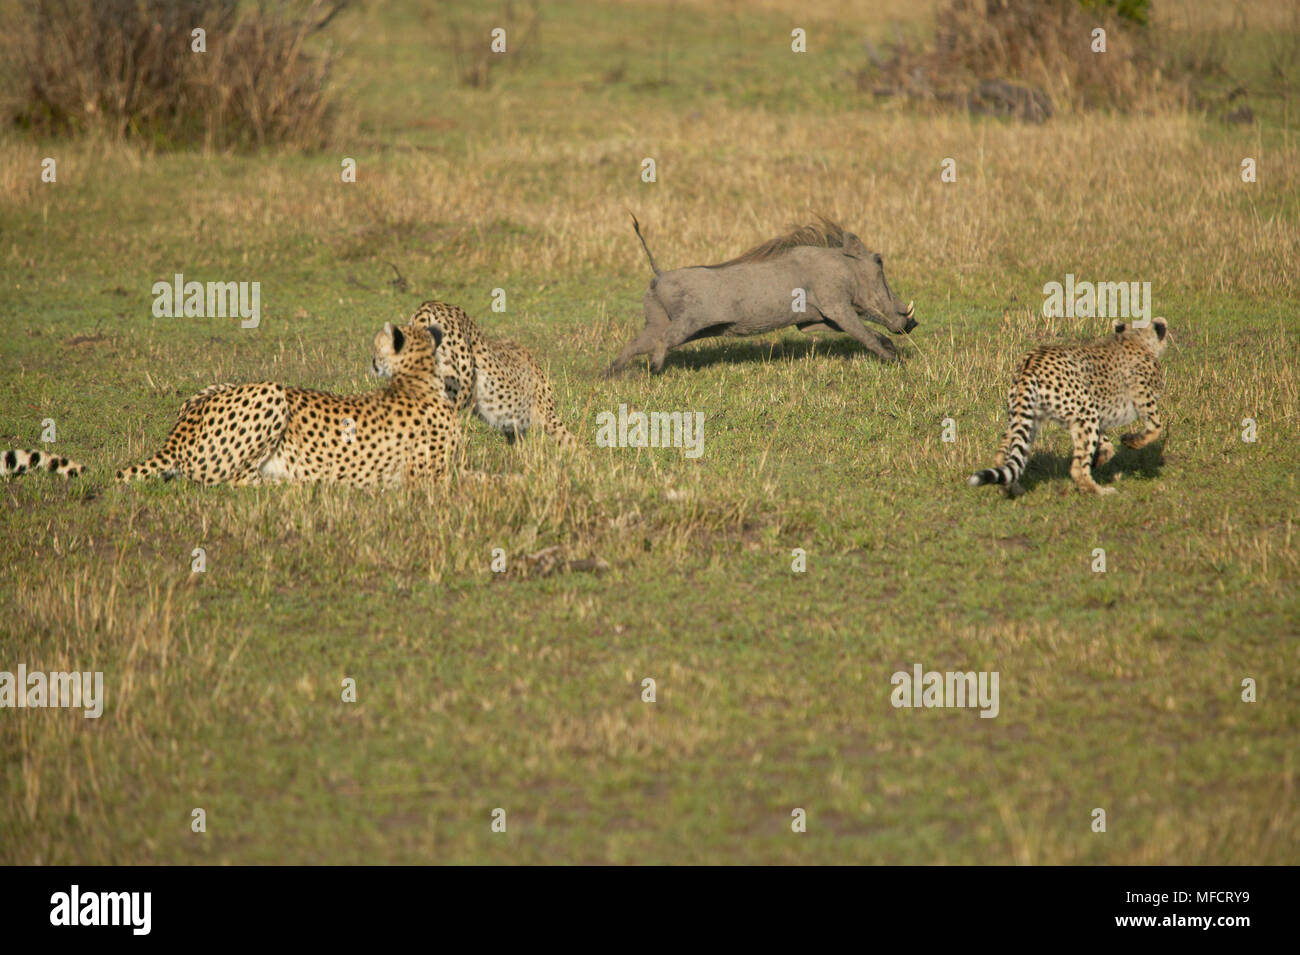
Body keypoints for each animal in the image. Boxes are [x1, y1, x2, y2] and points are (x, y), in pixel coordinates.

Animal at [0, 322, 461, 489]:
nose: (369, 361)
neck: (419, 378)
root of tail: (175, 435)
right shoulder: (430, 478)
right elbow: (477, 481)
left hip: (220, 386)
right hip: (272, 392)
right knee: (223, 480)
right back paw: (286, 484)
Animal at [967, 317, 1169, 497]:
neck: (1134, 338)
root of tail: (1031, 362)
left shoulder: (1095, 416)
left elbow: (1107, 445)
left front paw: (1100, 457)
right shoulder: (1140, 398)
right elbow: (1155, 428)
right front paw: (1132, 441)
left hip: (1027, 416)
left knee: (1005, 455)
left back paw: (1011, 489)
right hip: (1085, 413)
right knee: (1077, 469)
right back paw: (1099, 491)